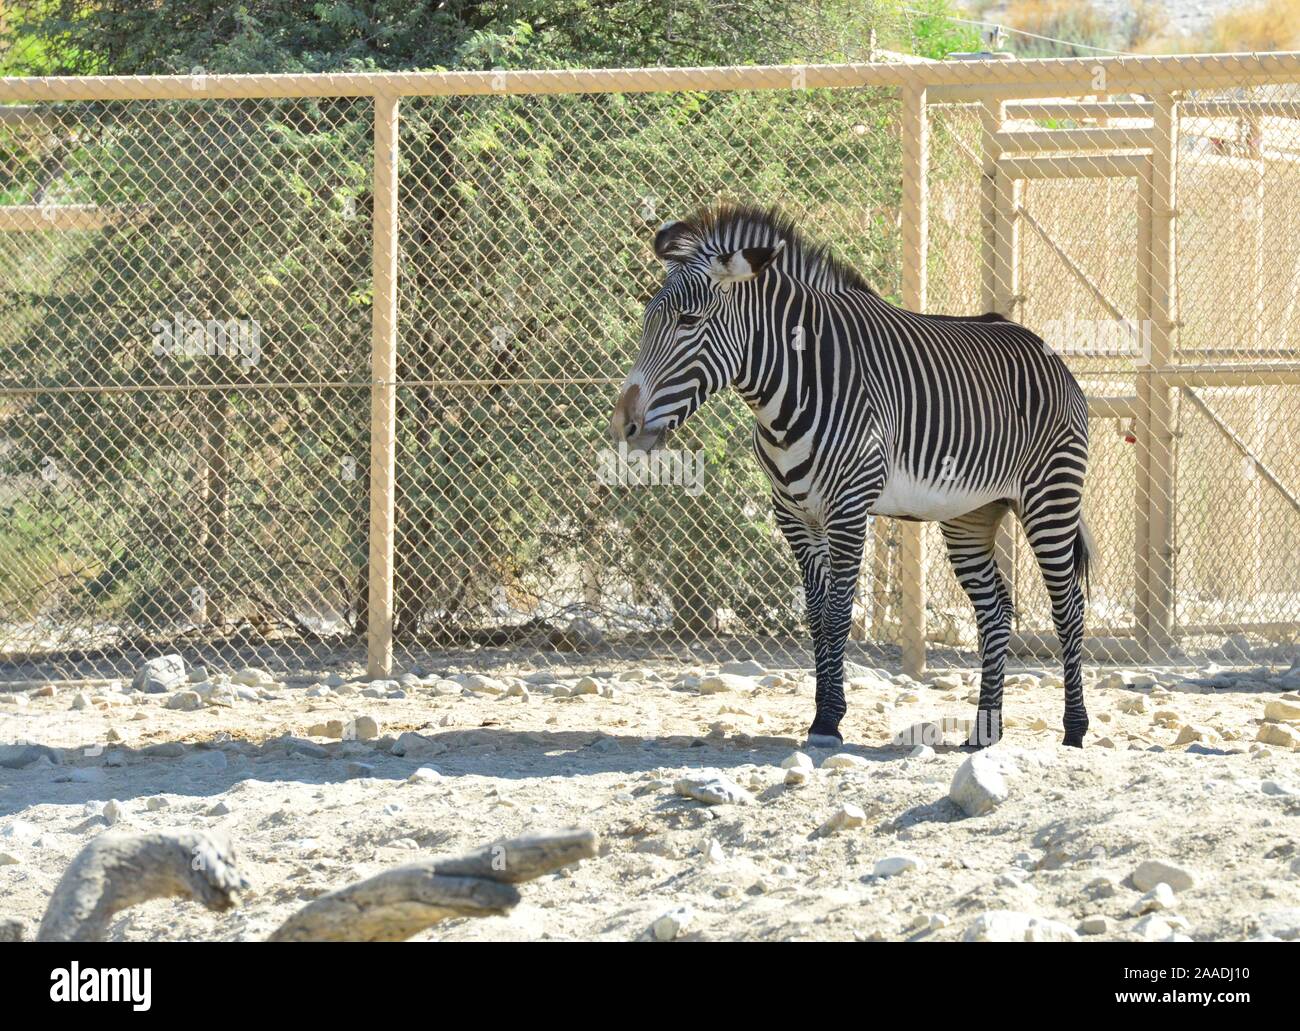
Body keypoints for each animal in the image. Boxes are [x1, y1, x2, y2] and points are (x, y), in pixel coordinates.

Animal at [610, 204, 1093, 749]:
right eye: (647, 322)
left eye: (689, 321)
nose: (623, 427)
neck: (793, 388)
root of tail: (1046, 349)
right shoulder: (794, 515)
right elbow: (817, 616)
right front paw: (822, 714)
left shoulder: (847, 508)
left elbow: (840, 612)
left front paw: (827, 721)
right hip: (970, 514)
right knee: (994, 610)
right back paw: (985, 730)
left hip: (1050, 498)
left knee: (1069, 607)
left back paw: (1075, 729)